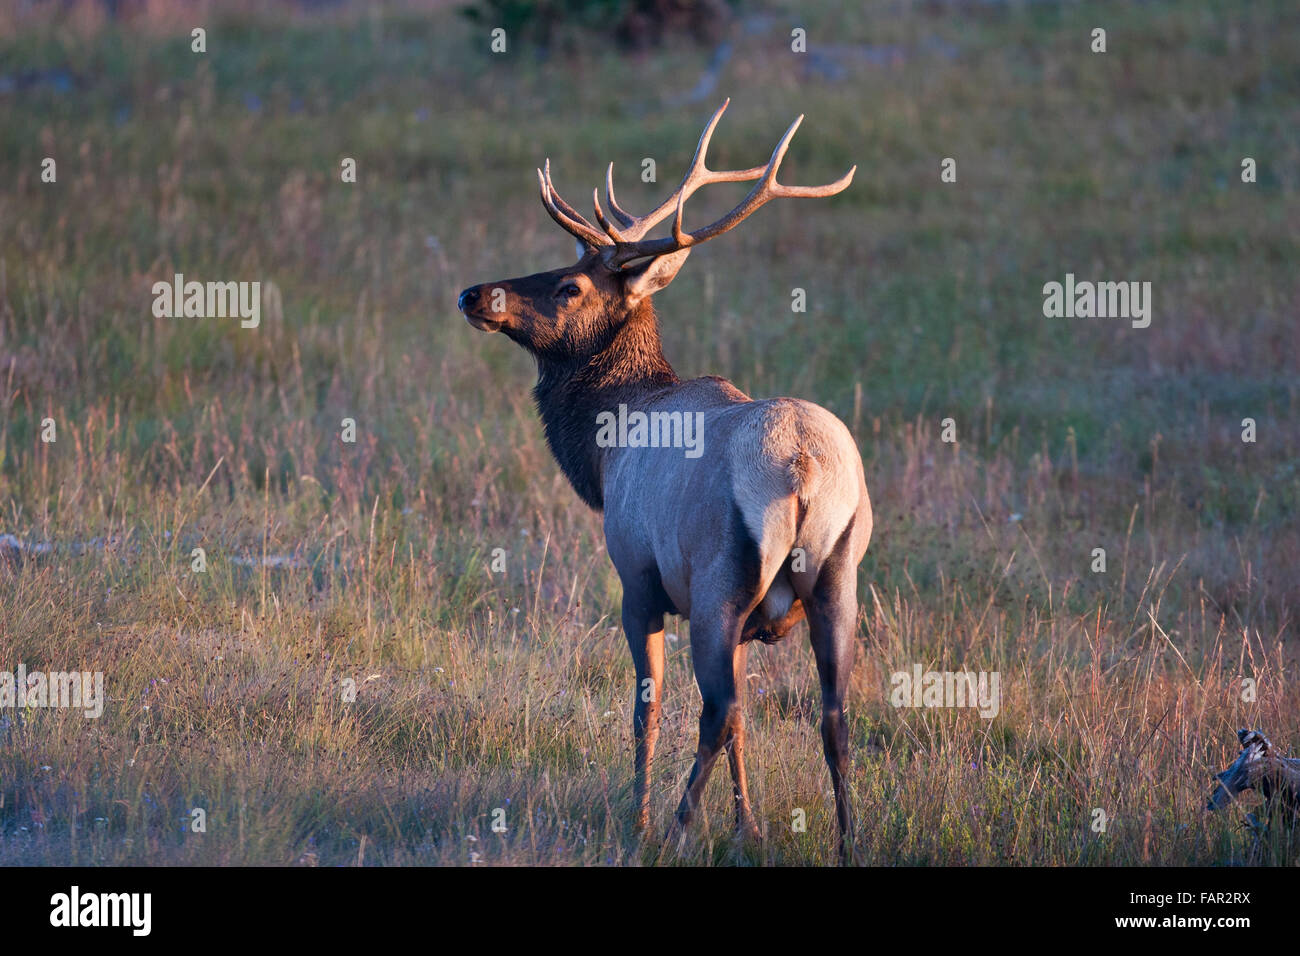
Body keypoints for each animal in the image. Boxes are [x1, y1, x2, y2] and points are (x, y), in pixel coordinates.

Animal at [457, 100, 872, 862]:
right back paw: (848, 841)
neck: (606, 452)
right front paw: (747, 825)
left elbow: (646, 711)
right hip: (838, 577)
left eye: (570, 285)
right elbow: (746, 726)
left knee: (716, 708)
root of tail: (802, 469)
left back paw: (675, 827)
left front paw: (641, 817)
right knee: (831, 714)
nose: (474, 293)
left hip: (716, 581)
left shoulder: (637, 579)